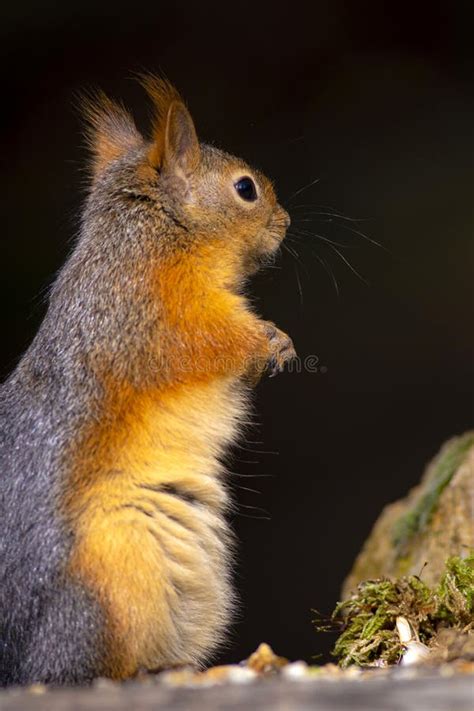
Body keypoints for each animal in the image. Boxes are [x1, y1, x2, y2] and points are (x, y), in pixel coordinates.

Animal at [0, 77, 296, 686]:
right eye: (246, 189)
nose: (286, 221)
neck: (146, 240)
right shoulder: (155, 317)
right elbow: (213, 342)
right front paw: (270, 341)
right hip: (115, 578)